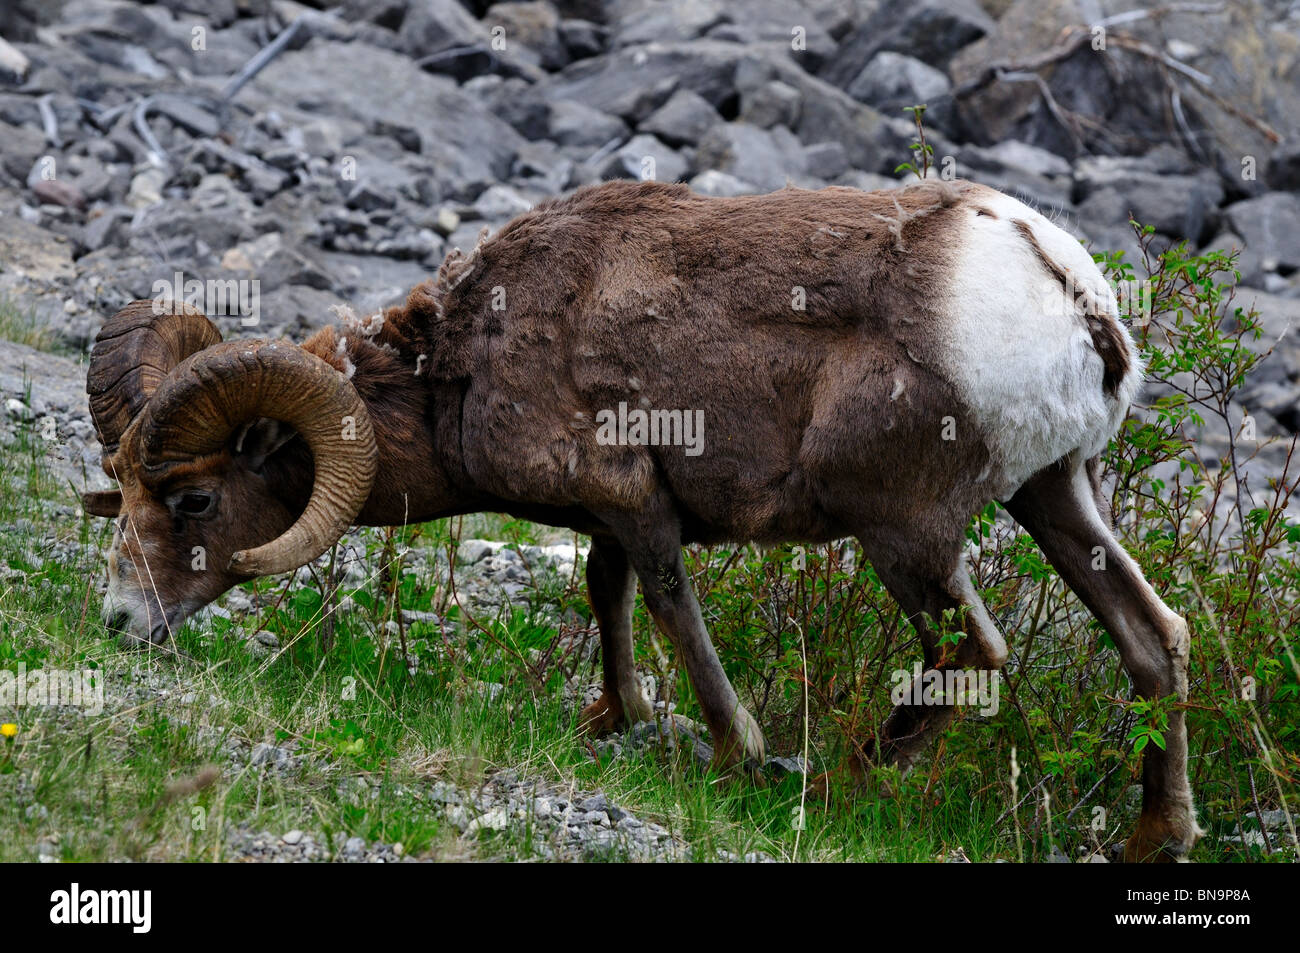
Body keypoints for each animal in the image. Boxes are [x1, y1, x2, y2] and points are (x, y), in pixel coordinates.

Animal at [83, 178, 1199, 861]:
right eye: (122, 487)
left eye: (193, 498)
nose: (121, 621)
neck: (467, 362)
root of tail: (1064, 290)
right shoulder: (608, 519)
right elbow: (606, 593)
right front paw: (610, 718)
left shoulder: (636, 505)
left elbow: (669, 611)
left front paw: (735, 754)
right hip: (1054, 493)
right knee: (1155, 640)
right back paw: (1155, 837)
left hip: (905, 530)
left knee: (972, 653)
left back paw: (826, 786)